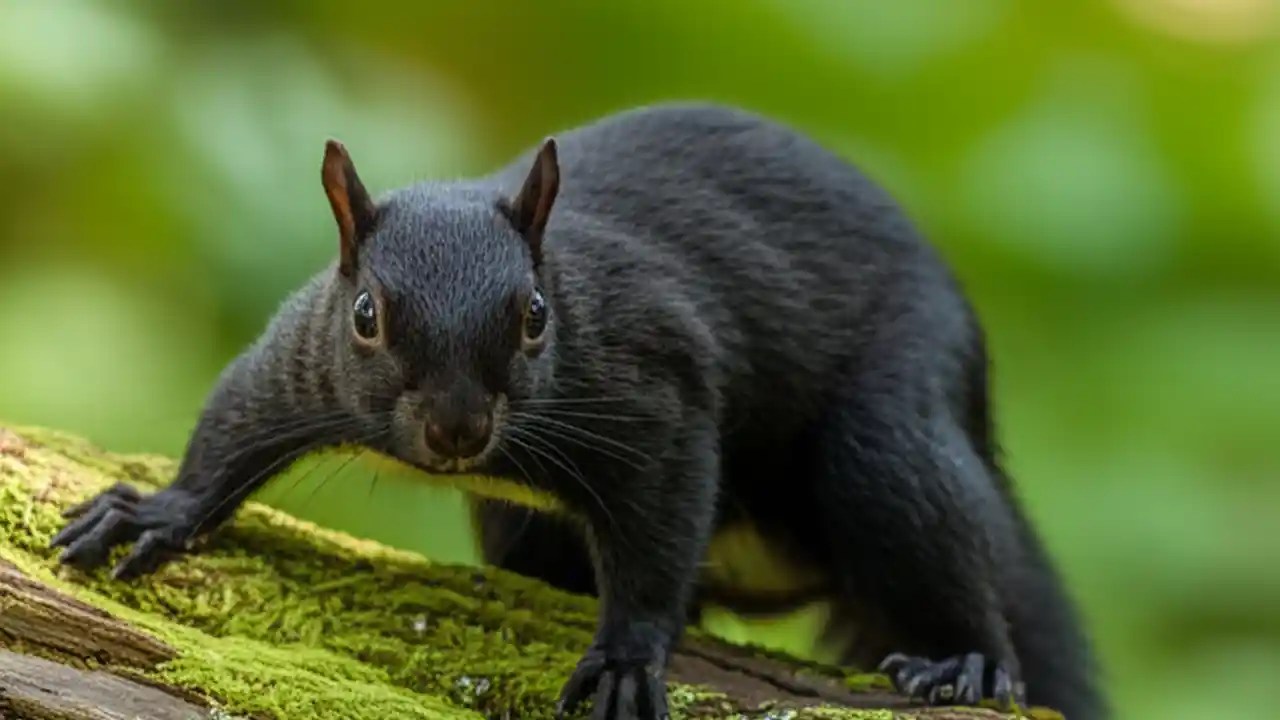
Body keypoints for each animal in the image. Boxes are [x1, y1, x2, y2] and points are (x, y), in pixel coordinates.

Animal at [51, 102, 1104, 720]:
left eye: (535, 316)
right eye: (365, 316)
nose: (457, 432)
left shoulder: (659, 392)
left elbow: (659, 539)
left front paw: (630, 655)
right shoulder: (300, 355)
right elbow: (233, 421)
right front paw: (157, 512)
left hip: (893, 434)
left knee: (947, 544)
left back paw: (966, 660)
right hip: (520, 525)